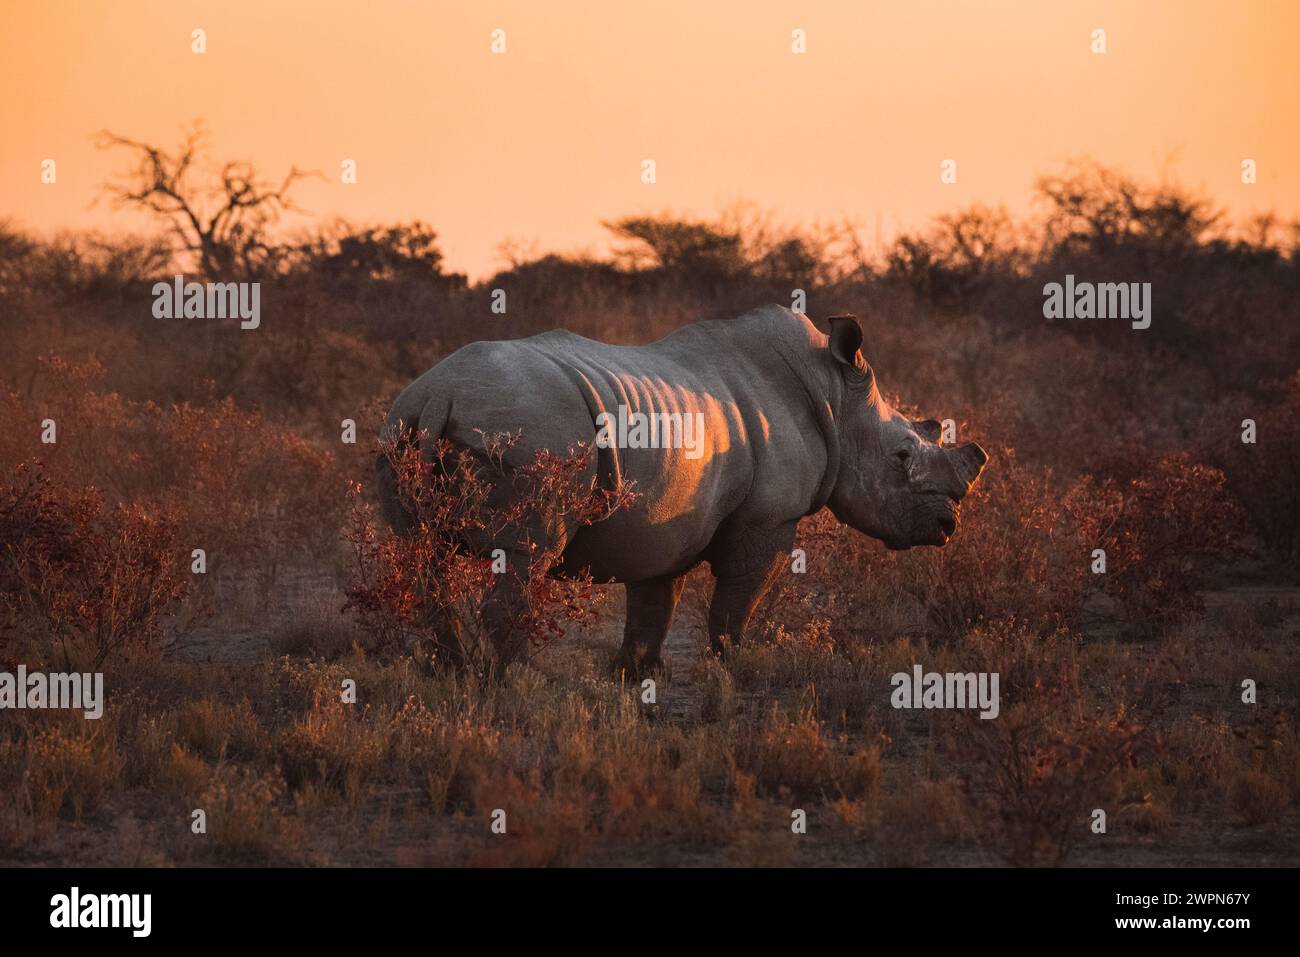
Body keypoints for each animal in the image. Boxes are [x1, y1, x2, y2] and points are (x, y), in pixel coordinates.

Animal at [377, 304, 987, 674]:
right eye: (901, 457)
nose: (947, 526)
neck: (836, 395)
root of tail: (438, 394)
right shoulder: (768, 518)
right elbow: (739, 597)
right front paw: (731, 666)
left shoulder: (664, 520)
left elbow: (655, 599)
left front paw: (636, 675)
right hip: (526, 431)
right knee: (526, 554)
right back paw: (517, 679)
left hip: (396, 428)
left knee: (416, 556)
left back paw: (451, 670)